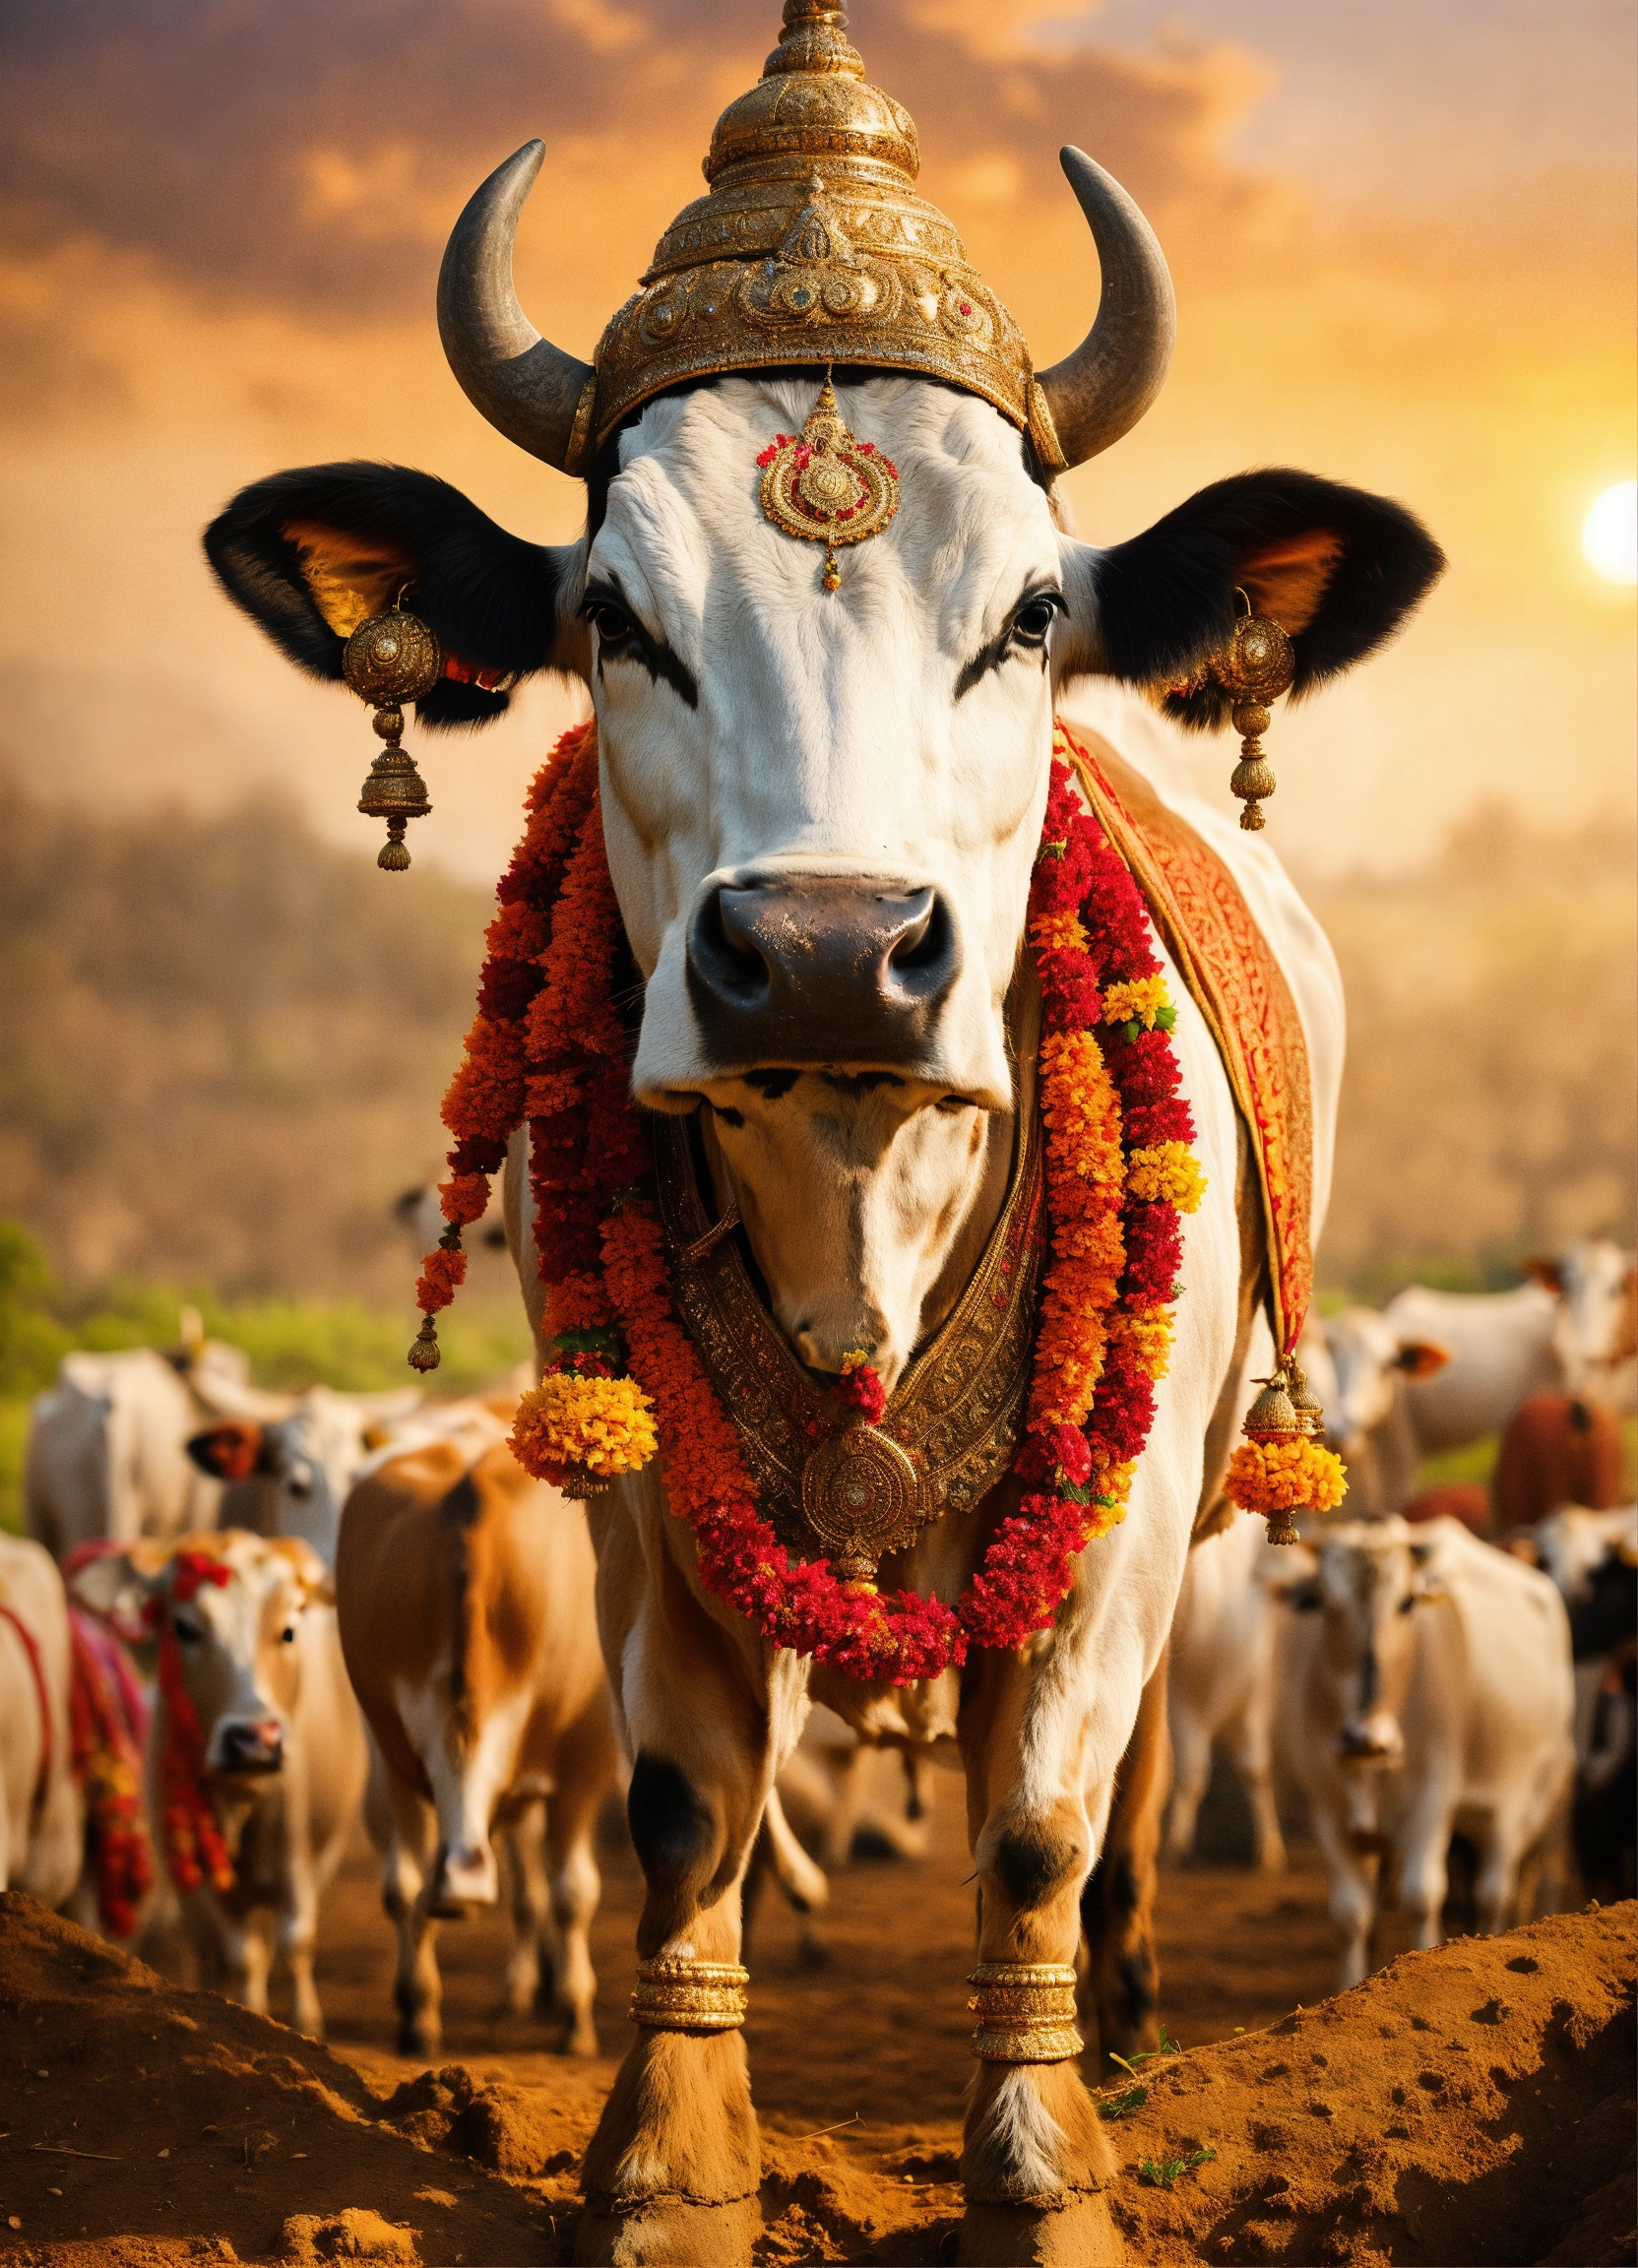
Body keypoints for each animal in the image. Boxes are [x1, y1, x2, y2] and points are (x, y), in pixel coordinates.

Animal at [69, 1531, 366, 2035]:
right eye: (185, 1628)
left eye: (288, 1630)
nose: (254, 1741)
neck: (240, 1810)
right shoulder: (203, 1889)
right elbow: (242, 1955)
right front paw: (248, 2012)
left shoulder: (299, 1859)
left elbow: (295, 1942)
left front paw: (305, 2023)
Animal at [335, 1433, 622, 2058]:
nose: (461, 1880)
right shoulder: (393, 1758)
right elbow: (404, 1889)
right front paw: (418, 2013)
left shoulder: (586, 1763)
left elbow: (572, 1893)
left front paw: (574, 2015)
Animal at [1275, 1516, 1574, 1992]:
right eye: (1324, 1603)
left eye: (1406, 1603)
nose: (1365, 1738)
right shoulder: (1326, 1810)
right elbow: (1350, 1915)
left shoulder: (1433, 1802)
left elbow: (1421, 1897)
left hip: (1517, 1804)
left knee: (1493, 1893)